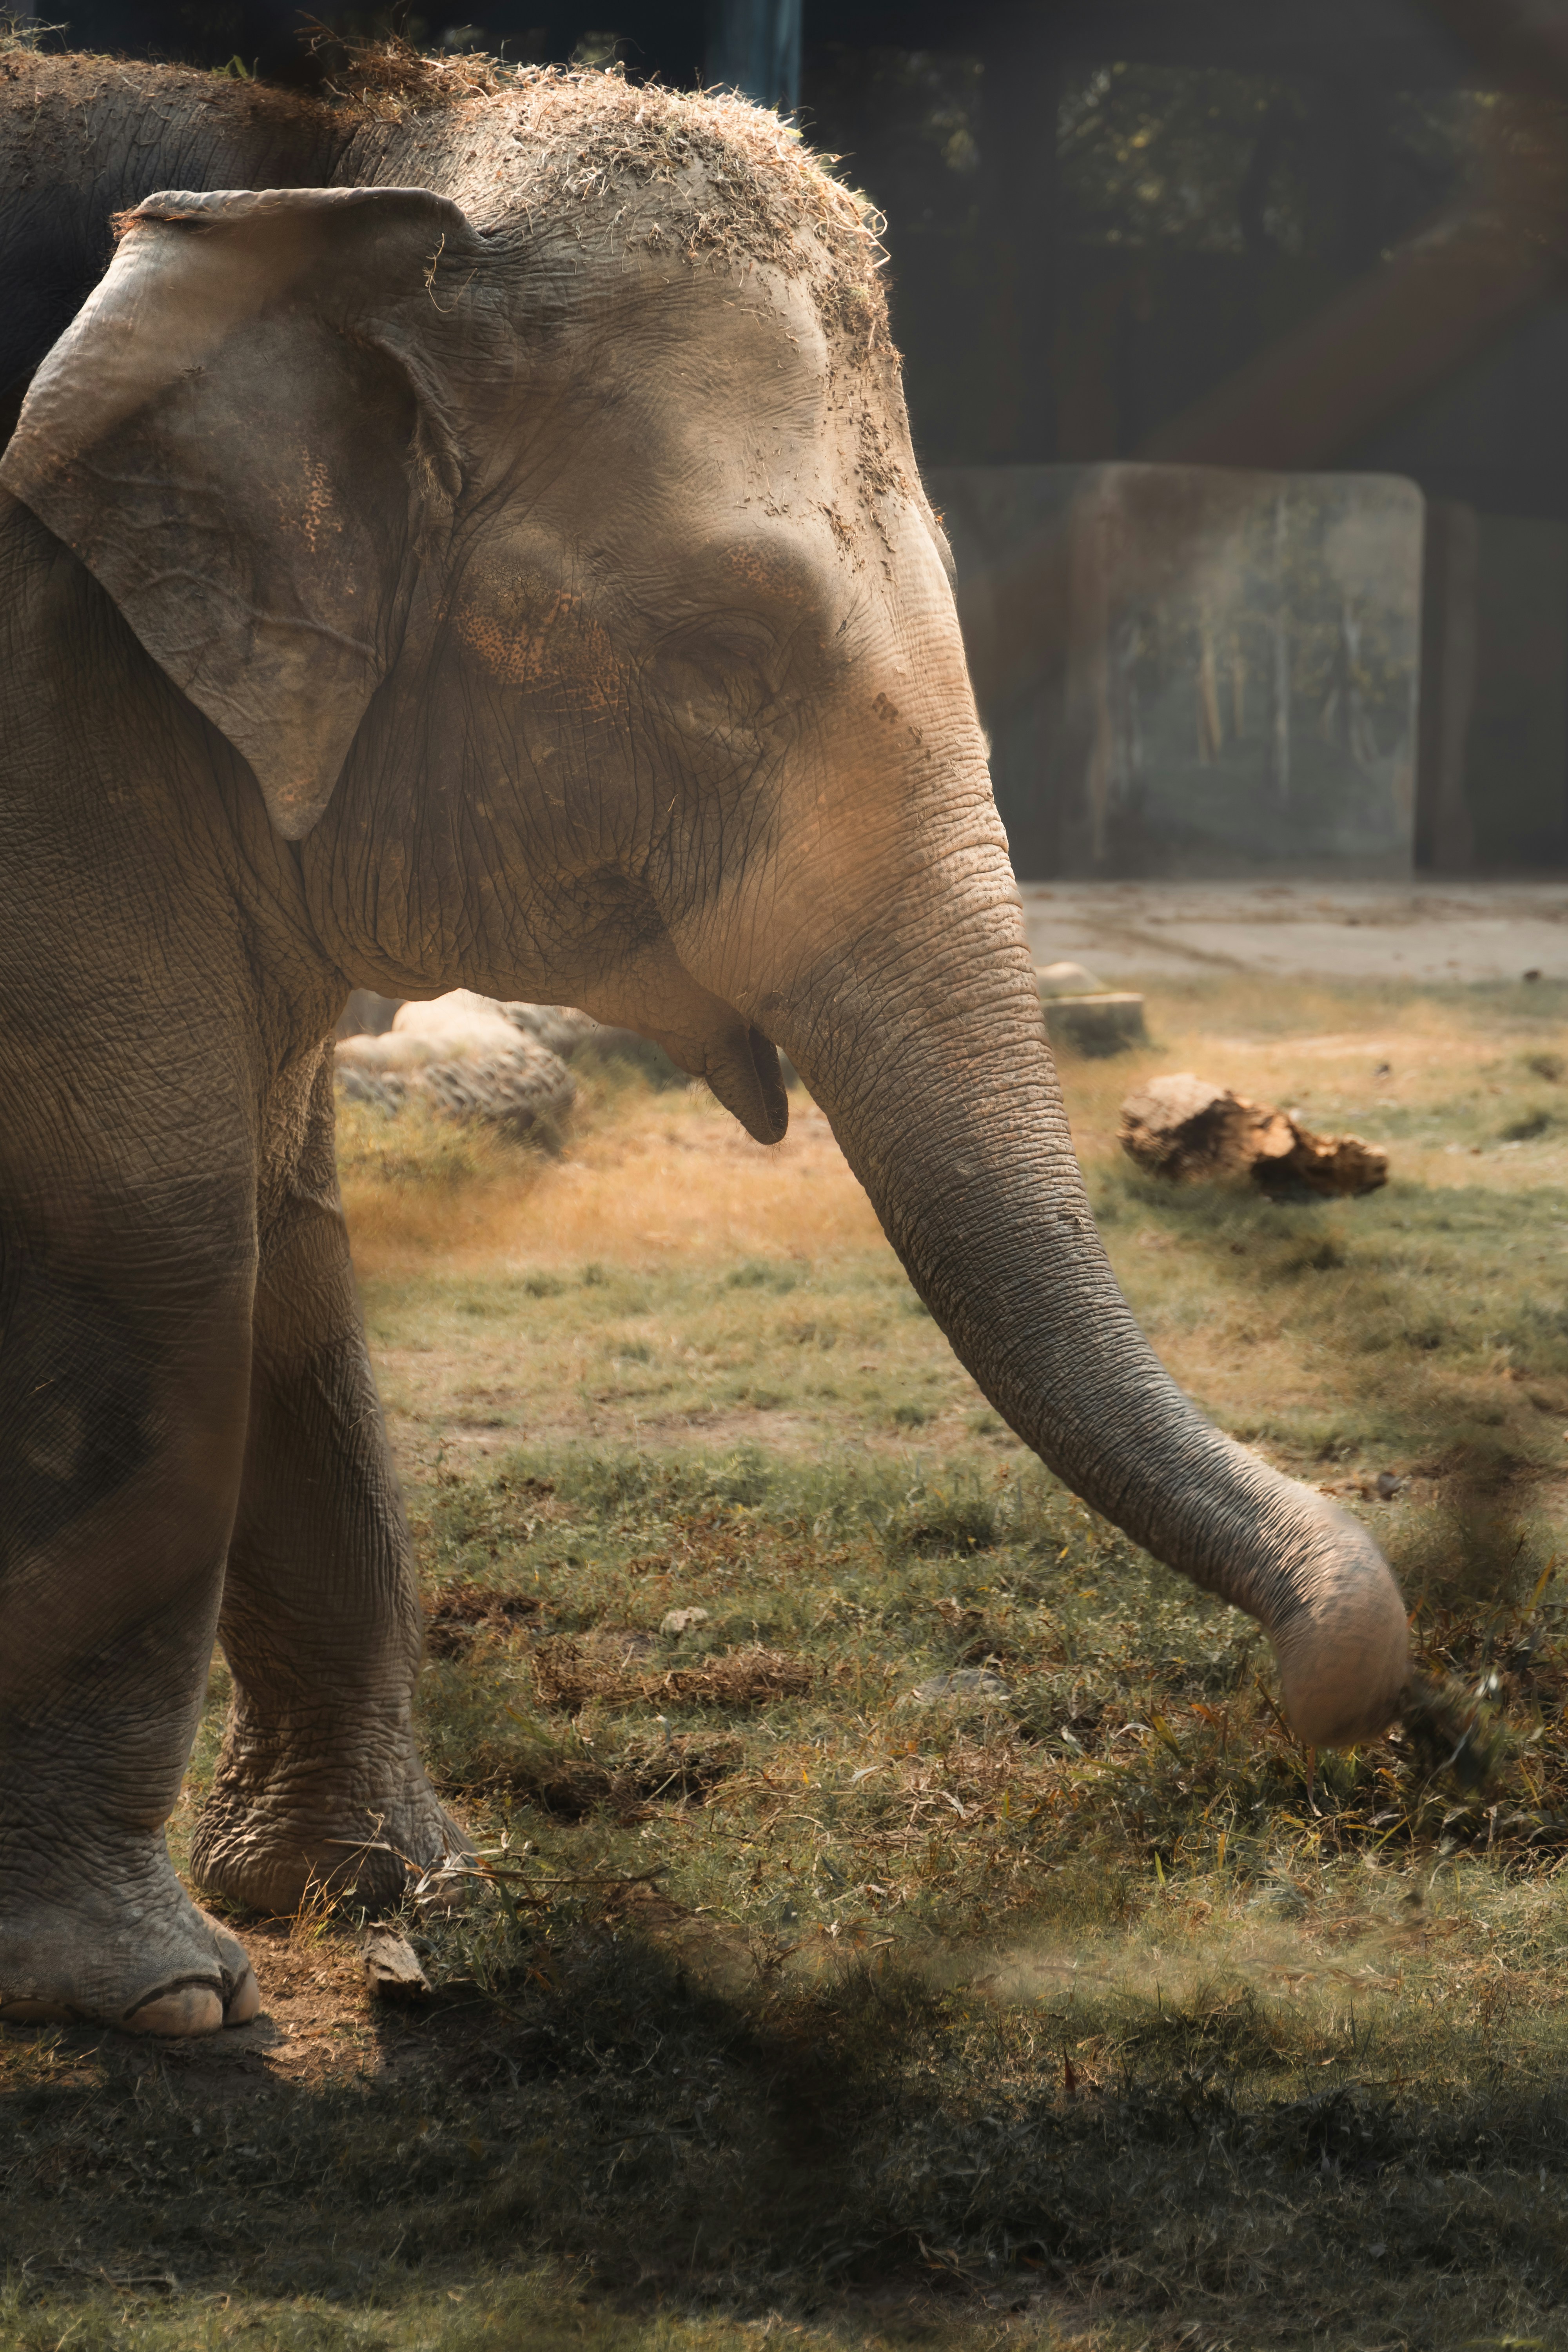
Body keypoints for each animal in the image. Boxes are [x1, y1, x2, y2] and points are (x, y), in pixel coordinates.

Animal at [0, 48, 1408, 2035]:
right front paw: (161, 1997)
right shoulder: (53, 729)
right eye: (731, 649)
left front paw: (384, 1886)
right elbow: (155, 1230)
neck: (324, 162)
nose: (1311, 1706)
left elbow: (289, 1249)